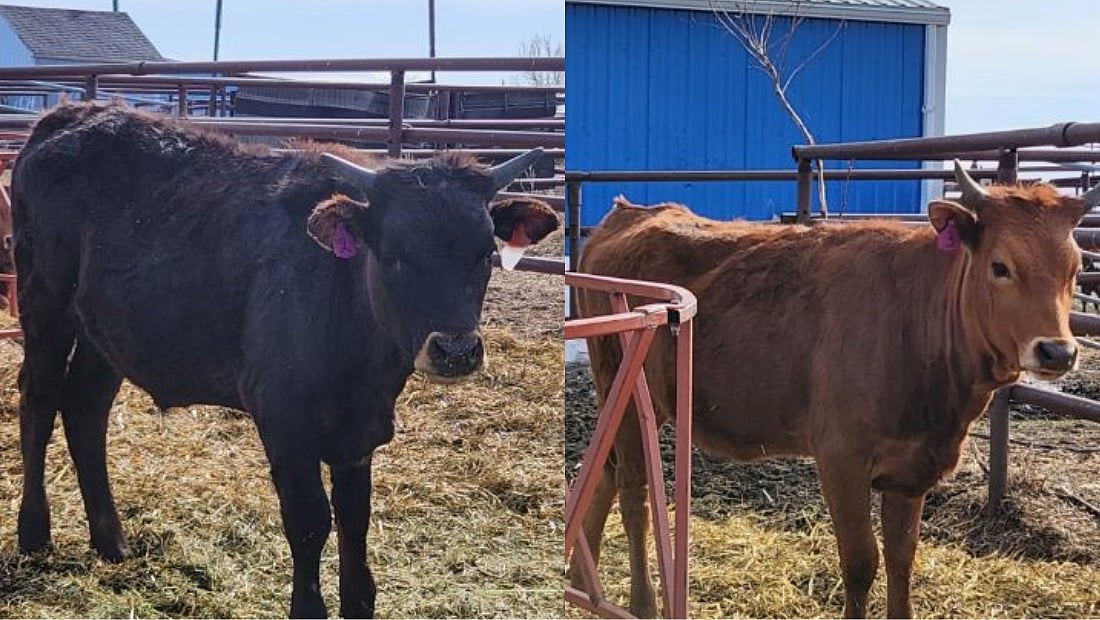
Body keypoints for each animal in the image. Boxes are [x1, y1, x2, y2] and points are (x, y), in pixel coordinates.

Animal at [12, 102, 559, 618]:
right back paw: (34, 531)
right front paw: (308, 608)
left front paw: (358, 600)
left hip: (105, 331)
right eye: (395, 254)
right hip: (45, 303)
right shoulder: (284, 419)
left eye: (485, 252)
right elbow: (310, 519)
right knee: (39, 399)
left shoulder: (357, 434)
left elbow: (354, 517)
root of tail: (70, 116)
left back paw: (112, 540)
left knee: (86, 409)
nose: (456, 349)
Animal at [571, 163, 1097, 618]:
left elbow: (902, 559)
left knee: (606, 471)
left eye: (1075, 268)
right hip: (625, 385)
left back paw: (579, 575)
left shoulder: (913, 469)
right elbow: (861, 561)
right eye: (1000, 265)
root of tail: (631, 211)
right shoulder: (842, 459)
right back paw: (639, 603)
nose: (1057, 351)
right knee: (633, 489)